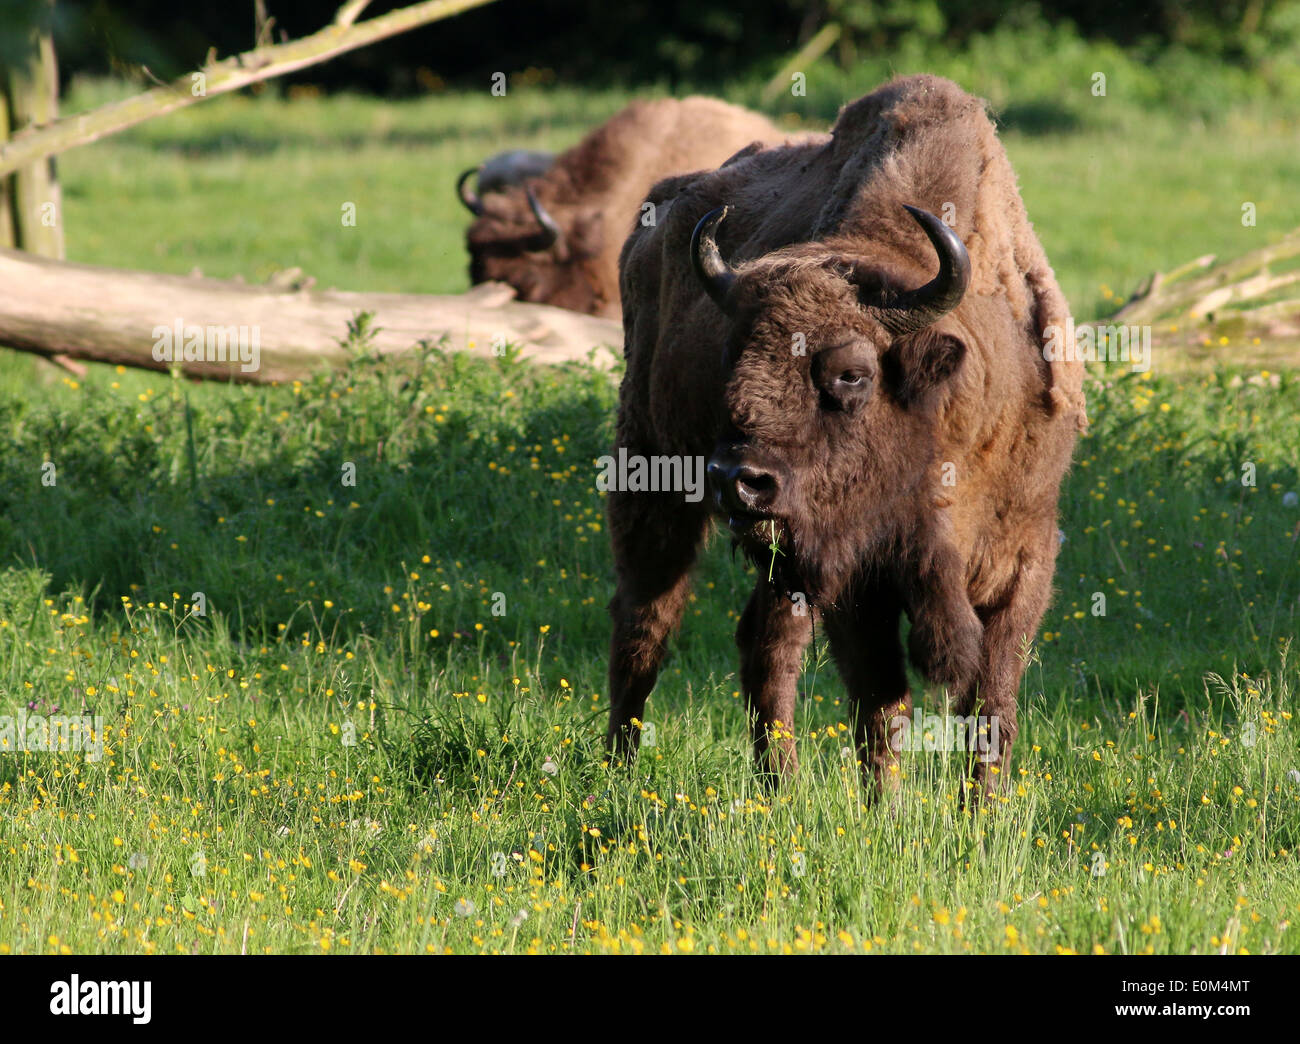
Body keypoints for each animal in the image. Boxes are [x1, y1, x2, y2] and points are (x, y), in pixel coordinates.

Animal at [605, 75, 1088, 799]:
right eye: (733, 357)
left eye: (852, 373)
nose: (740, 482)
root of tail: (654, 215)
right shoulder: (857, 579)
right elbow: (881, 702)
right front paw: (885, 810)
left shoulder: (1024, 556)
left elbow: (990, 701)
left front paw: (983, 815)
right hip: (651, 475)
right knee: (645, 619)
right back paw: (616, 770)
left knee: (763, 641)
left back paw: (778, 789)